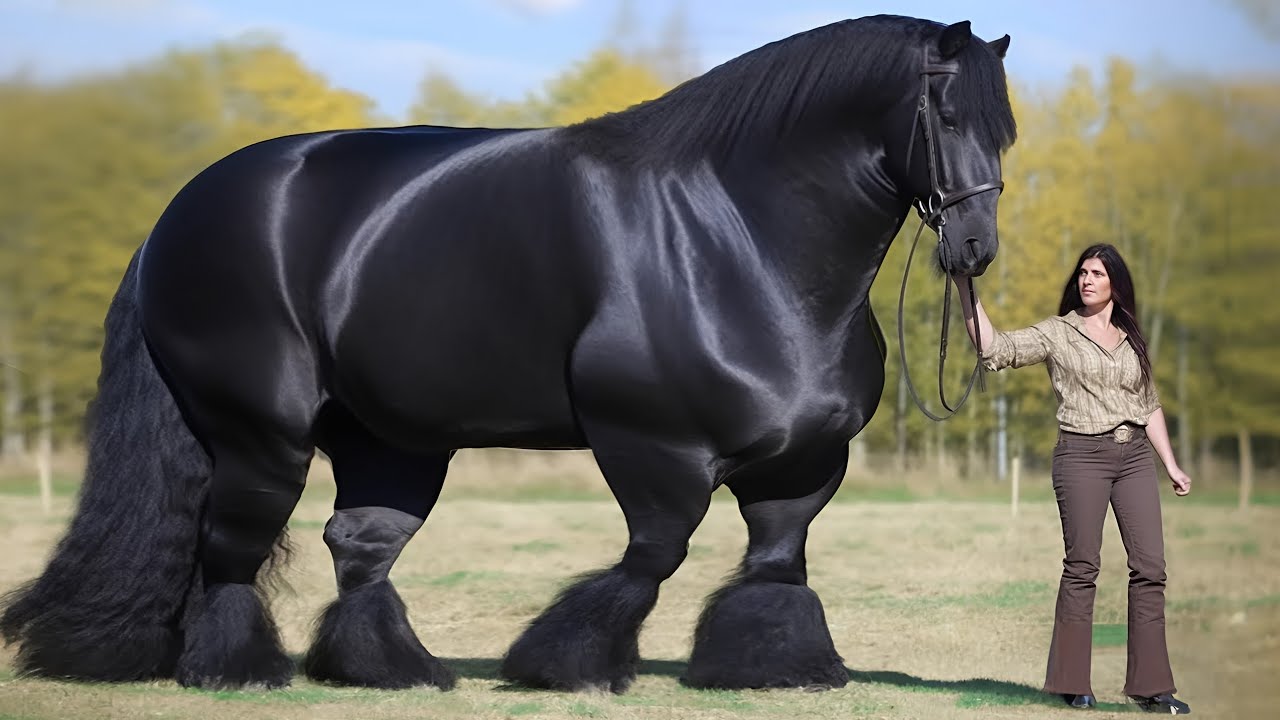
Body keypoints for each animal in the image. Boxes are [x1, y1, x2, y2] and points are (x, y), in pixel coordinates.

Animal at [1, 14, 1016, 694]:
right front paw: (563, 664)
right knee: (230, 543)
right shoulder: (650, 445)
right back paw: (234, 668)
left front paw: (772, 669)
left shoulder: (805, 462)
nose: (973, 251)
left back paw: (390, 671)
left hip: (392, 442)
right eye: (946, 115)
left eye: (1002, 126)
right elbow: (651, 556)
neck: (739, 235)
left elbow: (773, 568)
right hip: (262, 434)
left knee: (358, 547)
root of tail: (176, 216)